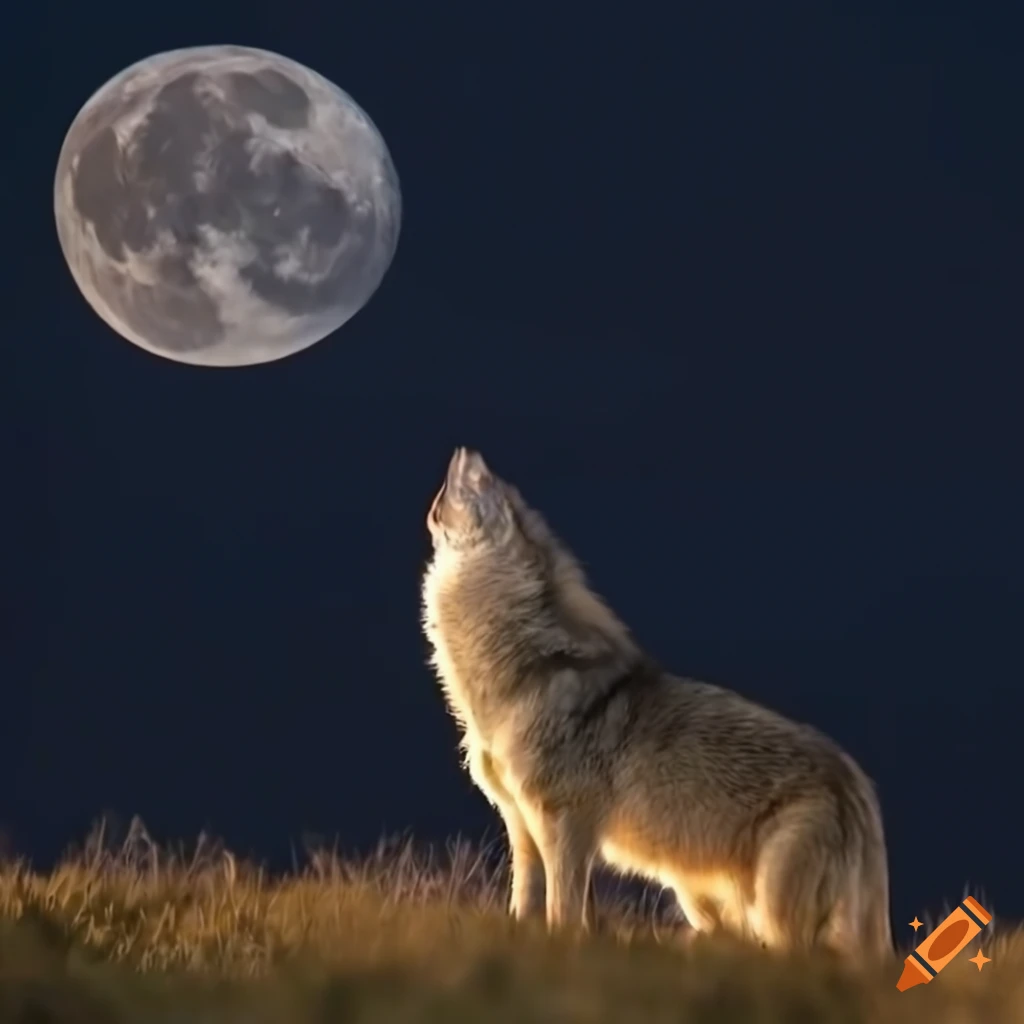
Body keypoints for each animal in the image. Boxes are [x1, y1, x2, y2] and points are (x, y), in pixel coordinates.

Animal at [421, 448, 892, 960]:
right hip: (705, 901)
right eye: (511, 495)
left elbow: (562, 916)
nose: (469, 451)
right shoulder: (522, 827)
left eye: (494, 488)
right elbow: (525, 910)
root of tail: (855, 780)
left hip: (773, 914)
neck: (526, 670)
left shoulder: (565, 829)